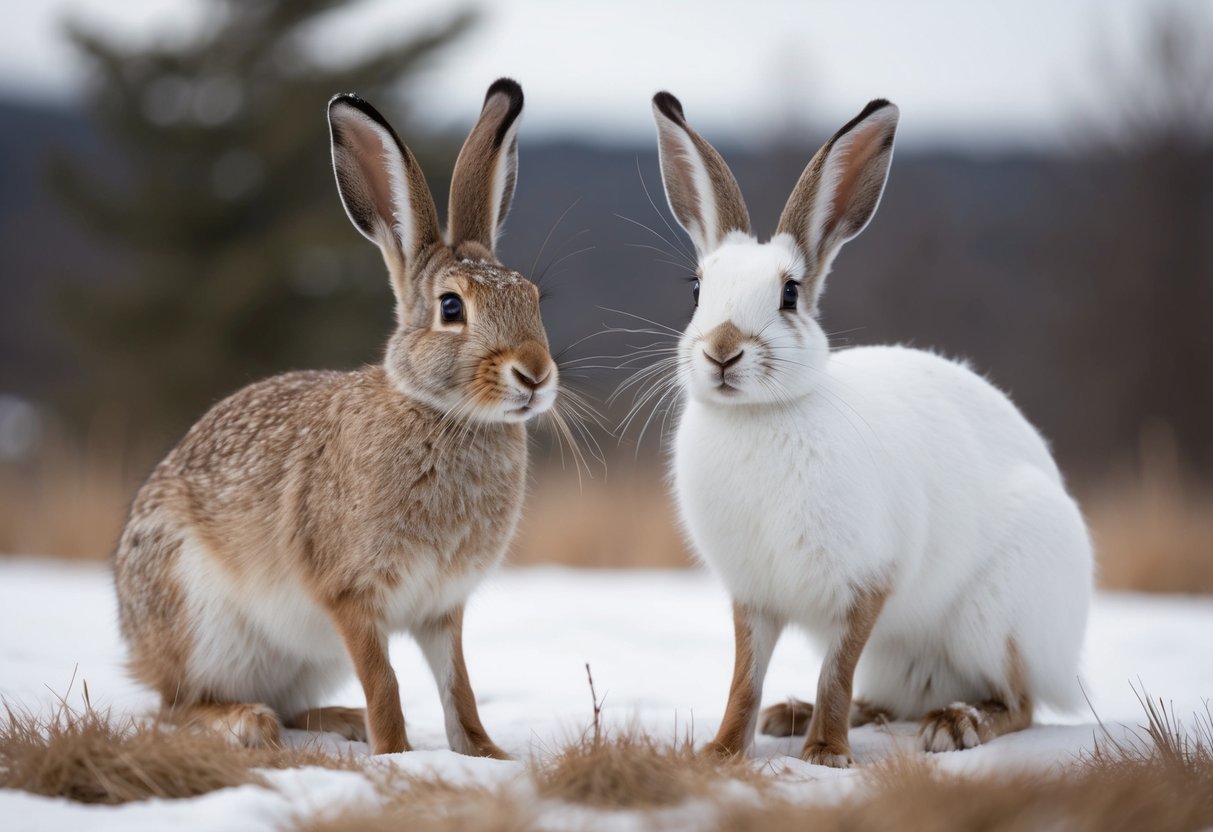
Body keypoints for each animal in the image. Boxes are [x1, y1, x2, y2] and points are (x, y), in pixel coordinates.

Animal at [112, 79, 556, 758]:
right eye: (451, 307)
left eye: (534, 299)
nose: (534, 374)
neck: (439, 414)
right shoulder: (348, 594)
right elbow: (386, 681)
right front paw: (395, 755)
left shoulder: (442, 607)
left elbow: (458, 687)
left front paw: (484, 755)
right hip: (201, 623)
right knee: (176, 706)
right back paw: (245, 723)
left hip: (305, 658)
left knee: (287, 703)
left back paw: (340, 721)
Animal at [647, 91, 1093, 767]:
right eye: (698, 291)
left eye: (789, 294)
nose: (722, 352)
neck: (759, 415)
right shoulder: (753, 596)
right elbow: (745, 679)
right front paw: (721, 751)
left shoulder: (868, 583)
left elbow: (837, 670)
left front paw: (826, 755)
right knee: (886, 701)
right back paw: (792, 714)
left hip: (992, 619)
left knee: (1018, 701)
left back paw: (955, 725)